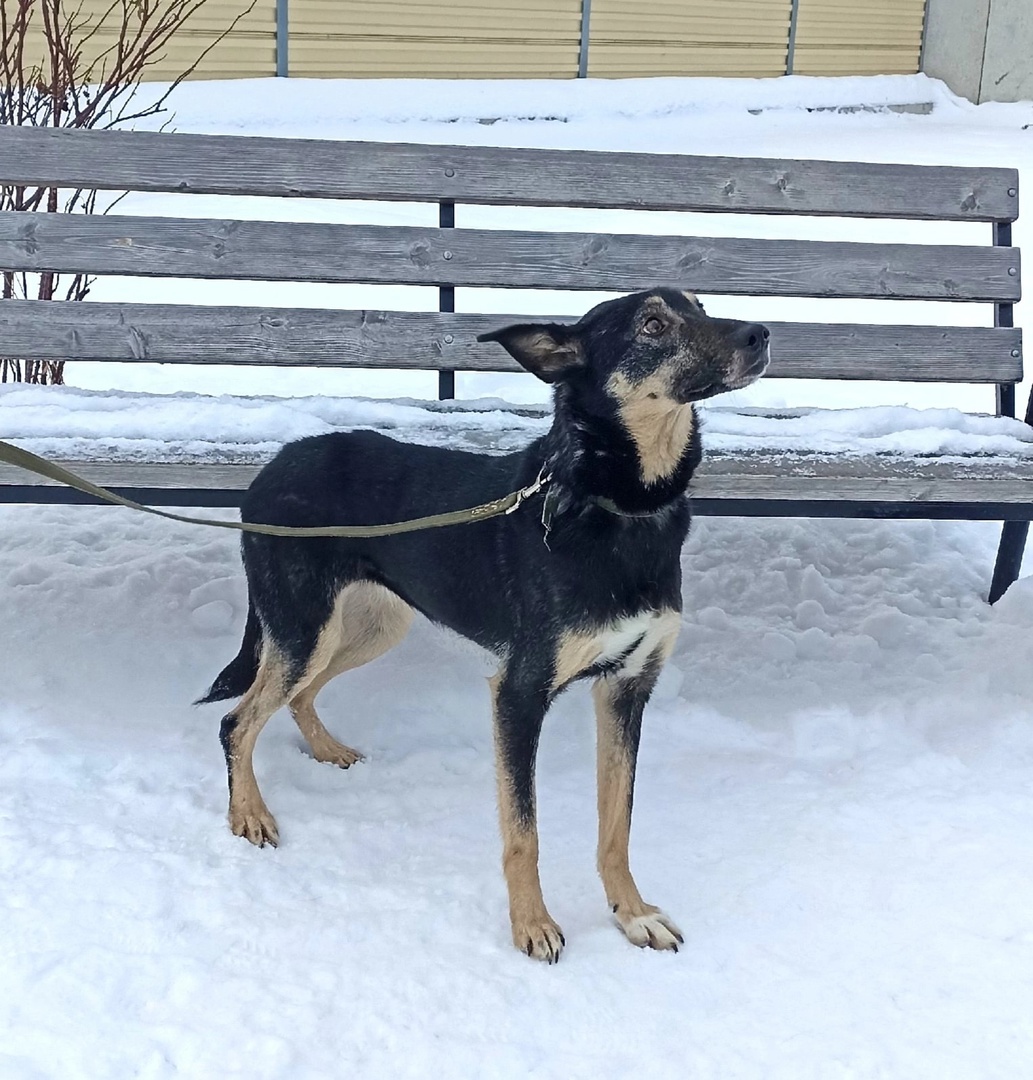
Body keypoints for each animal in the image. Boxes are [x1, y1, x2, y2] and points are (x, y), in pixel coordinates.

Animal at [199, 287, 765, 963]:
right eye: (652, 324)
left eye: (701, 306)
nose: (762, 335)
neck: (616, 506)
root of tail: (274, 464)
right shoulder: (519, 693)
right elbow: (525, 832)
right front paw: (532, 926)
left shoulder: (627, 687)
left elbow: (617, 825)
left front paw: (631, 914)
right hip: (304, 625)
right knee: (237, 721)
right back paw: (249, 815)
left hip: (370, 626)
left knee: (296, 695)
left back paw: (327, 750)